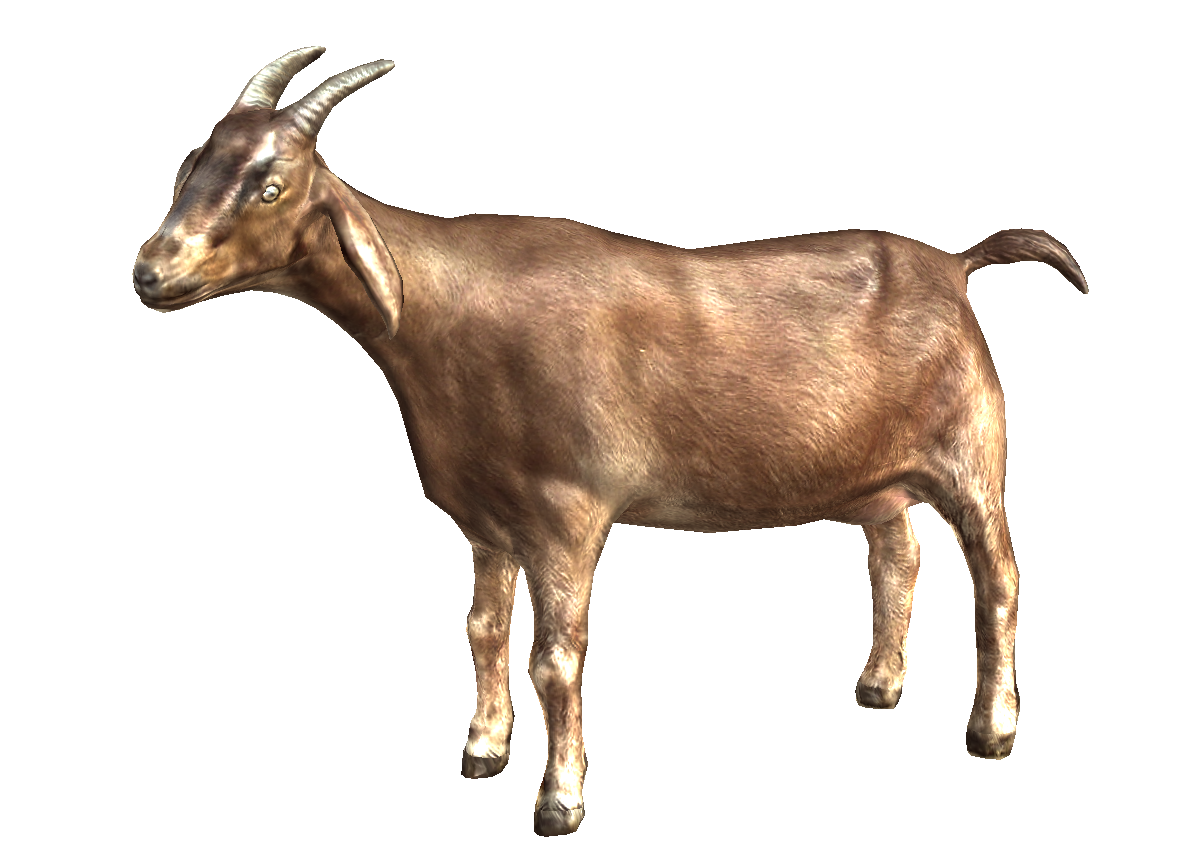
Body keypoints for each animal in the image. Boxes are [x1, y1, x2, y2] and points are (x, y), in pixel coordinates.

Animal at [132, 47, 1088, 836]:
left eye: (271, 187)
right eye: (189, 168)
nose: (151, 271)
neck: (442, 316)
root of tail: (956, 264)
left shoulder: (568, 513)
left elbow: (555, 658)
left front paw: (559, 800)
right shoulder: (487, 521)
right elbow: (480, 629)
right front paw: (482, 749)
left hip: (971, 453)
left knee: (998, 579)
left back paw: (991, 728)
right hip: (874, 480)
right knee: (896, 556)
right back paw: (878, 686)